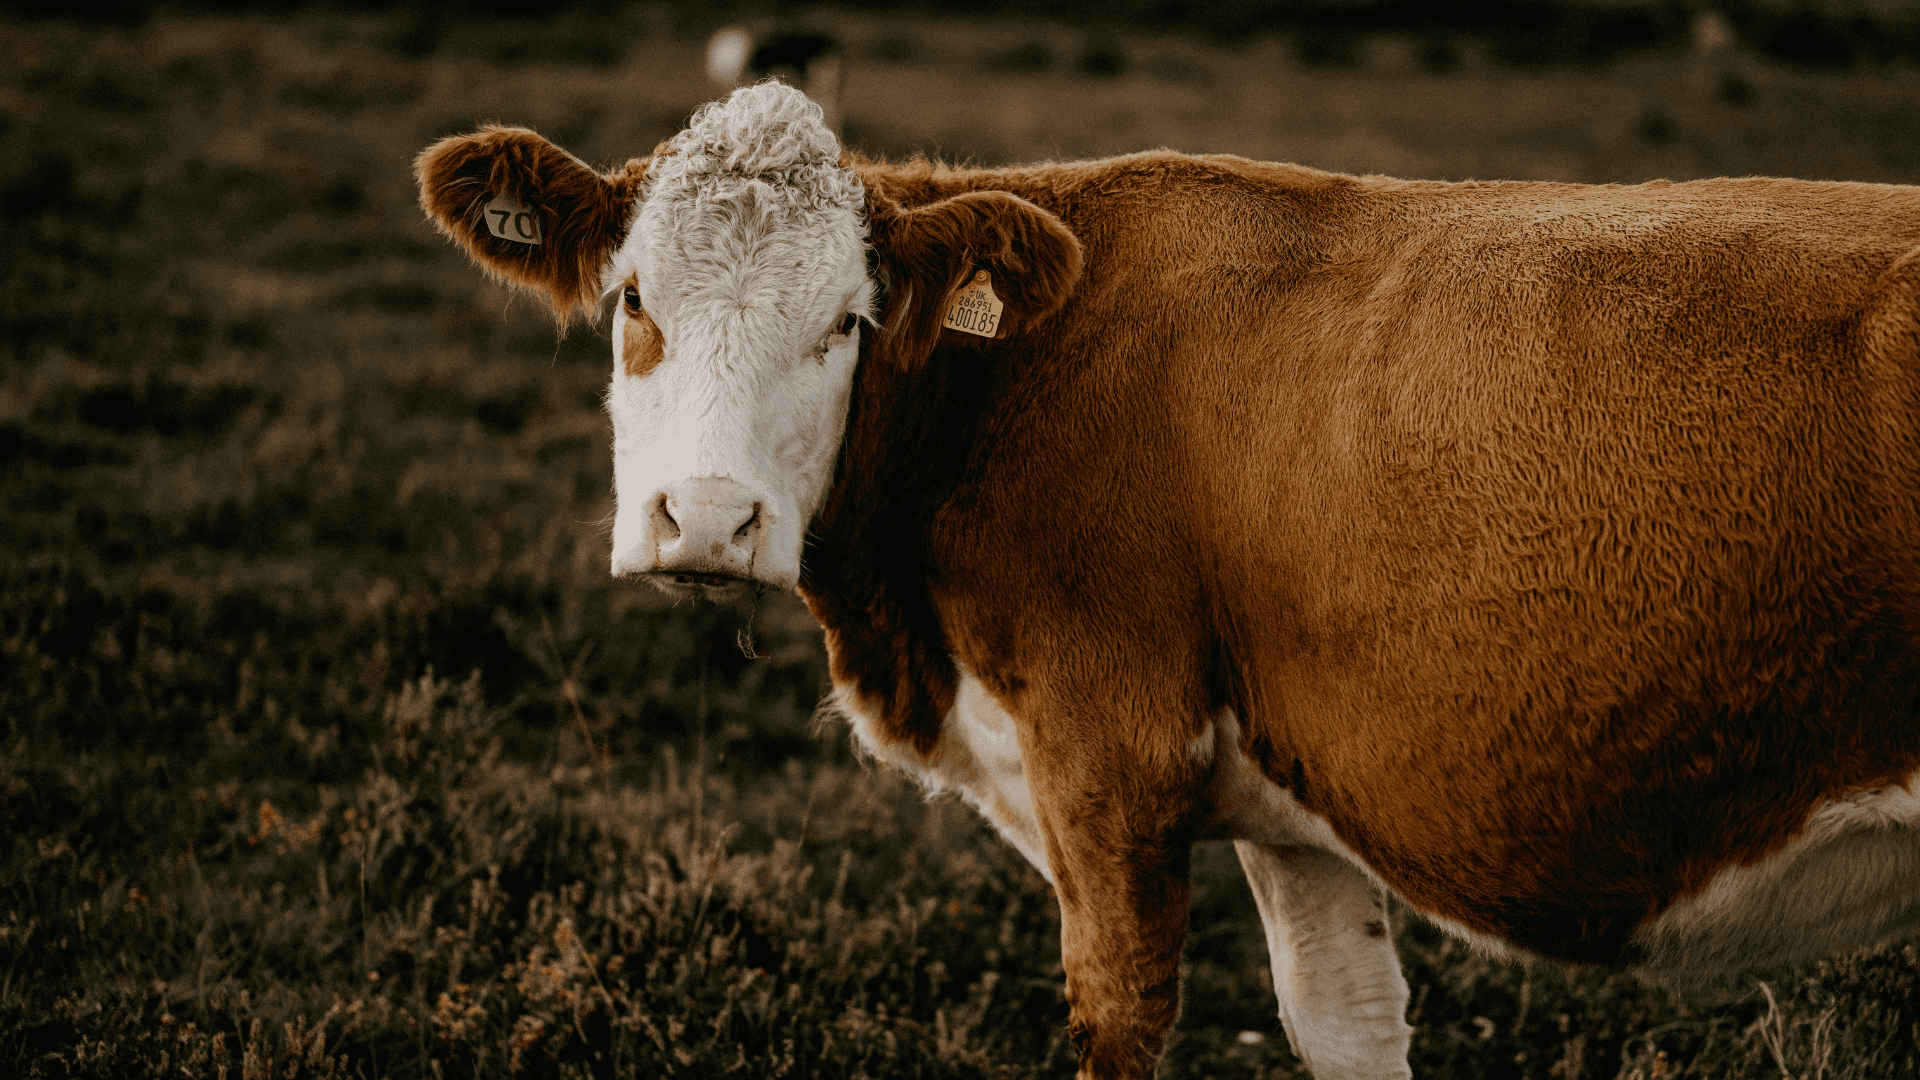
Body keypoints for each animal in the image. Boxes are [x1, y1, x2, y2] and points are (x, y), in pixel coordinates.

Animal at [416, 83, 1920, 1079]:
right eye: (633, 301)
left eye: (847, 321)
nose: (710, 520)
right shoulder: (1295, 806)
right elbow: (1347, 1025)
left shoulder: (1105, 764)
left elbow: (1120, 1013)